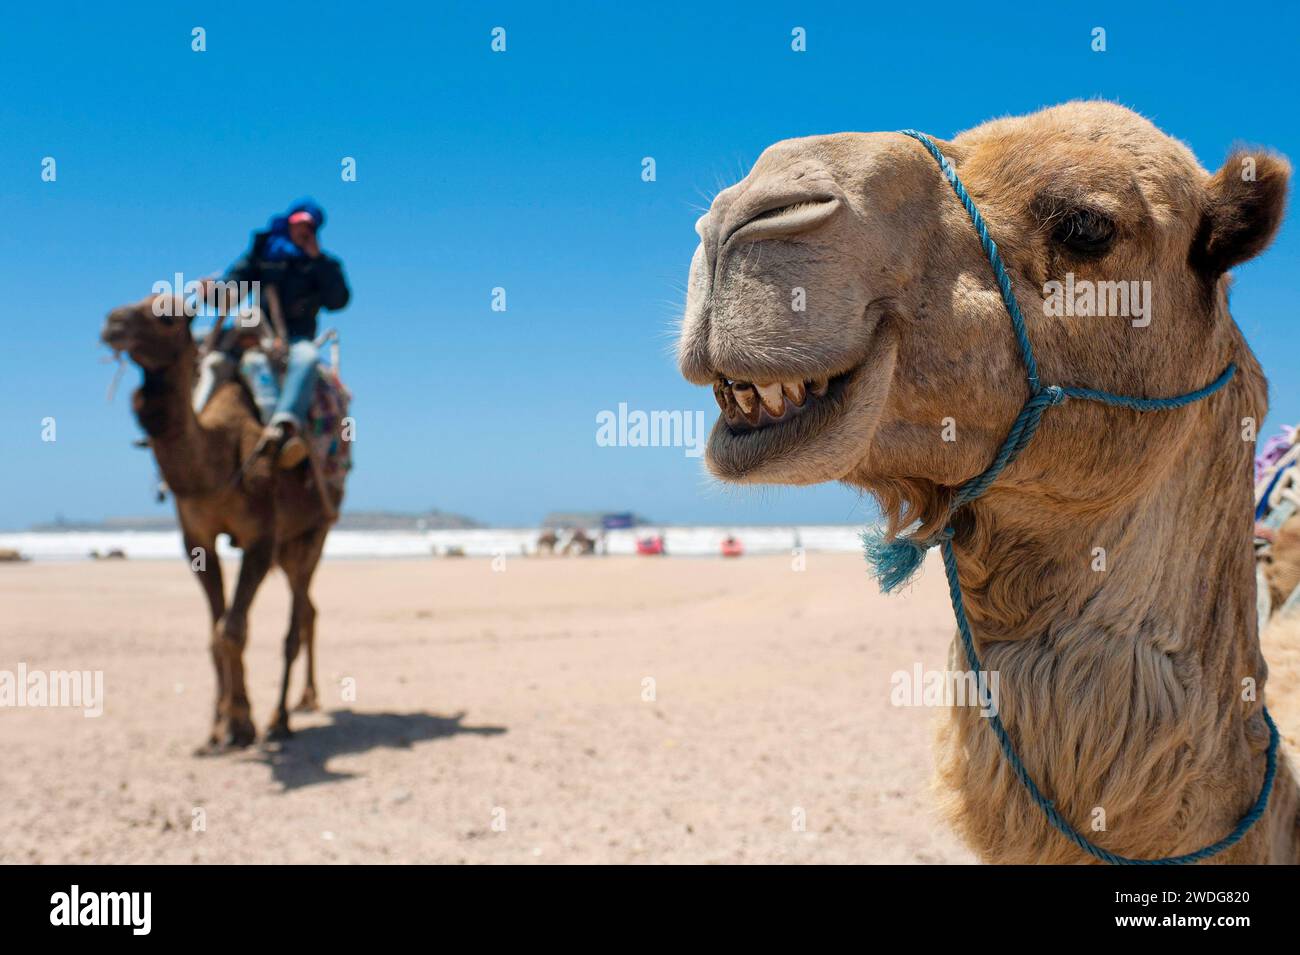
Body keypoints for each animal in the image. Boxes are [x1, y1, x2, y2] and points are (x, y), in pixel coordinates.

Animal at [102, 294, 345, 750]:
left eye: (168, 315)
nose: (113, 322)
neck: (217, 460)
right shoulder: (196, 539)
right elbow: (216, 631)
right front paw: (219, 728)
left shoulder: (261, 539)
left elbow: (233, 629)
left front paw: (242, 723)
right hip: (288, 547)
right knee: (308, 610)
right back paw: (303, 701)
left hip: (314, 531)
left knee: (295, 623)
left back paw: (281, 718)